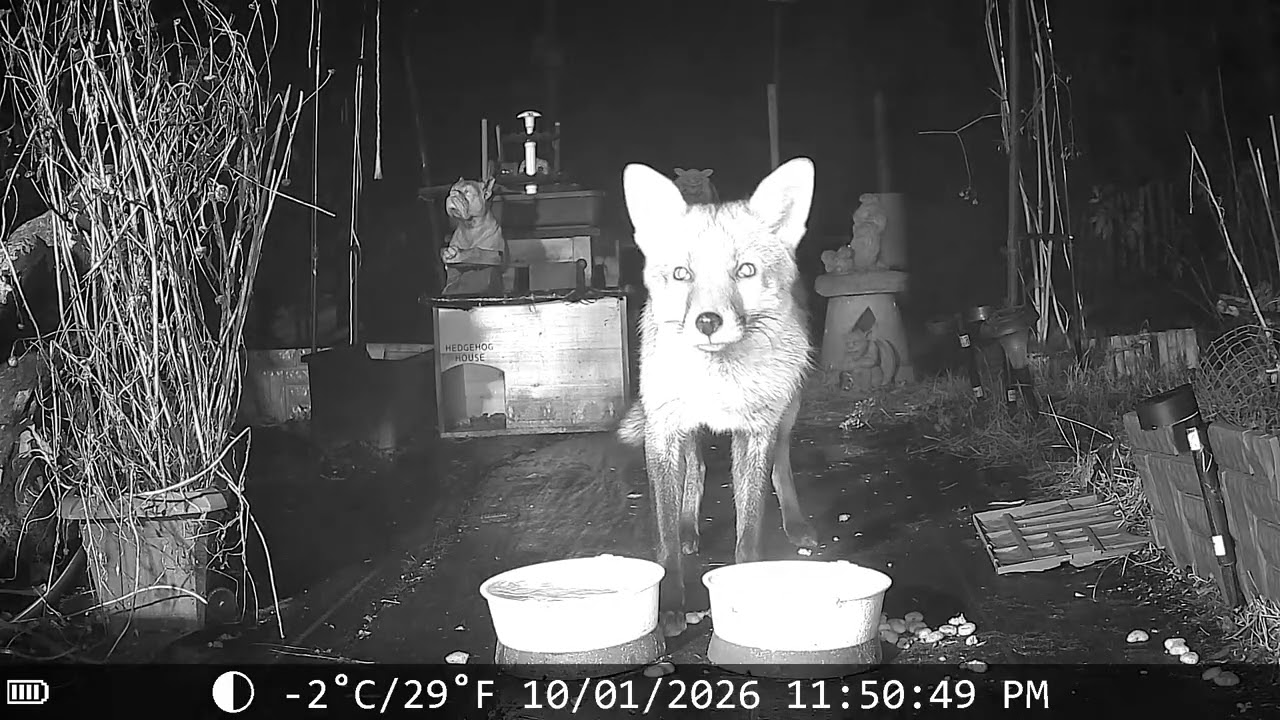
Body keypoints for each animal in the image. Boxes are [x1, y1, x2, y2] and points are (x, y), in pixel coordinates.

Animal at [617, 157, 820, 638]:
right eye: (681, 274)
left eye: (744, 270)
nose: (707, 321)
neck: (719, 380)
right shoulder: (663, 431)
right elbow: (665, 538)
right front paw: (670, 605)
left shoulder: (755, 433)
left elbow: (749, 531)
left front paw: (744, 588)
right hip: (681, 429)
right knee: (697, 469)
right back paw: (690, 526)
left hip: (786, 414)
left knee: (781, 468)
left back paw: (795, 522)